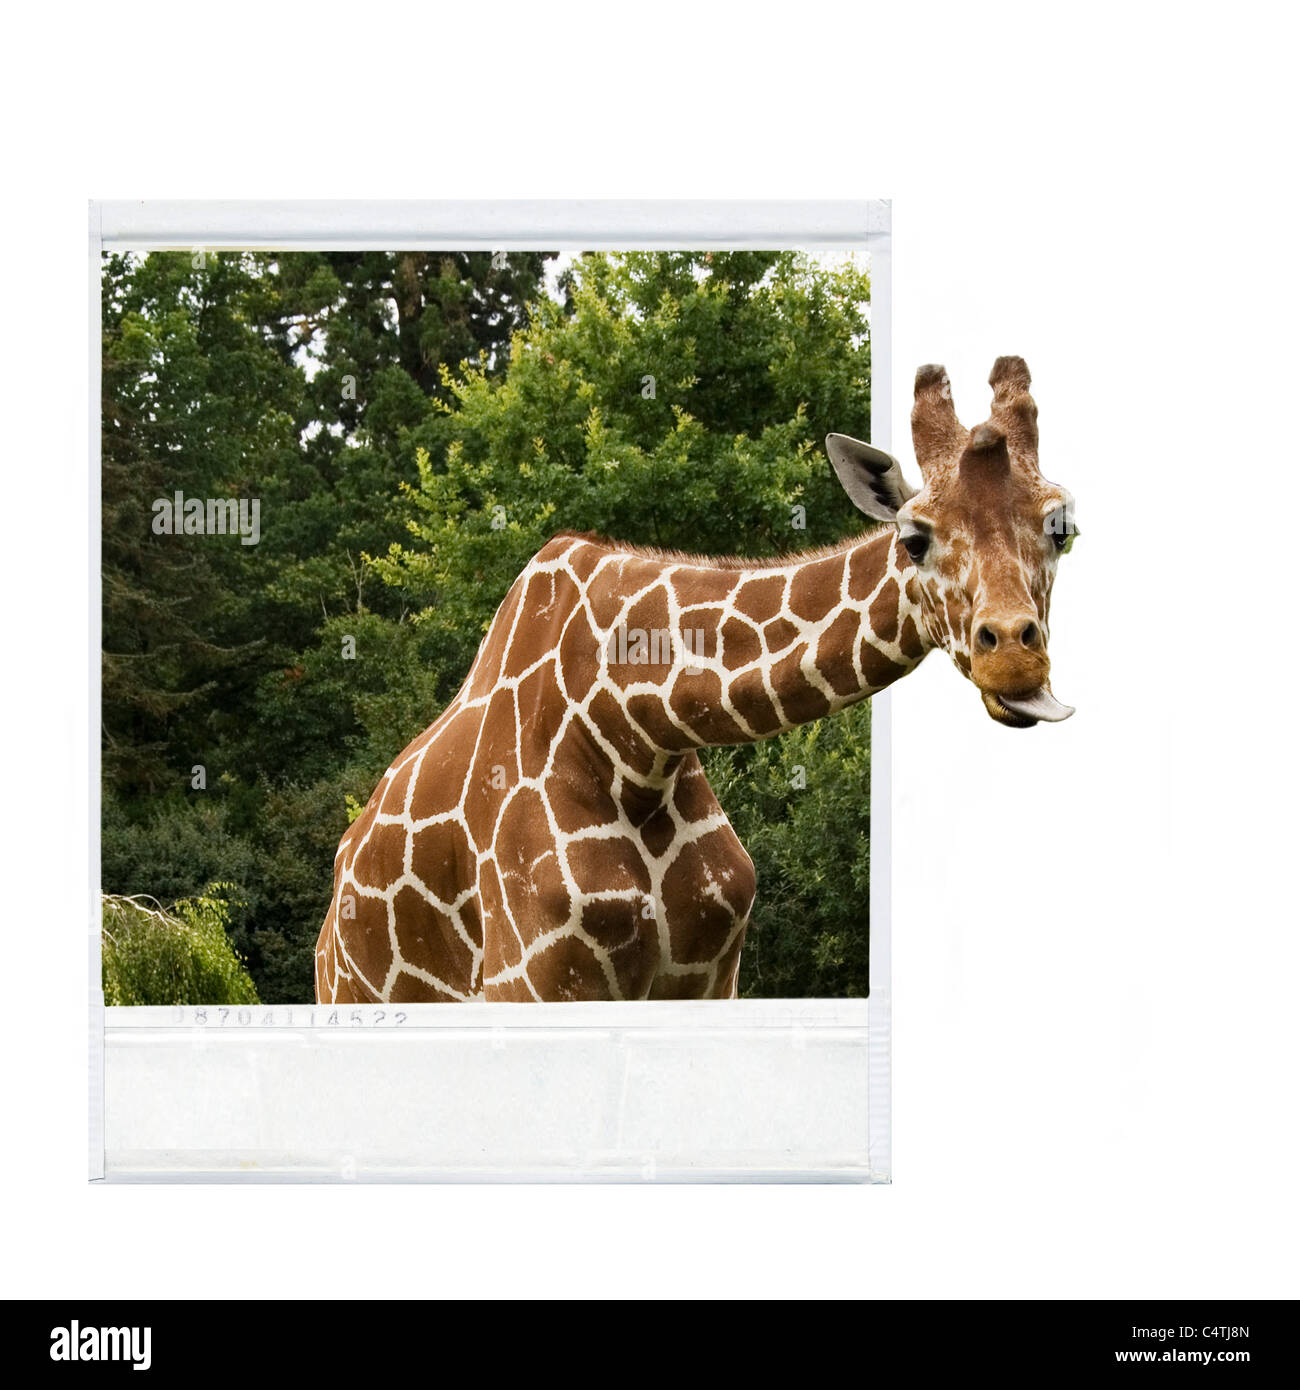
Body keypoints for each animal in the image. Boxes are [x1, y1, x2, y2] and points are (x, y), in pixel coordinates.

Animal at [314, 357, 1077, 1003]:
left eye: (1061, 530)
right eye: (915, 539)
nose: (1015, 657)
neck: (634, 732)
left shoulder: (709, 977)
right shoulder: (526, 977)